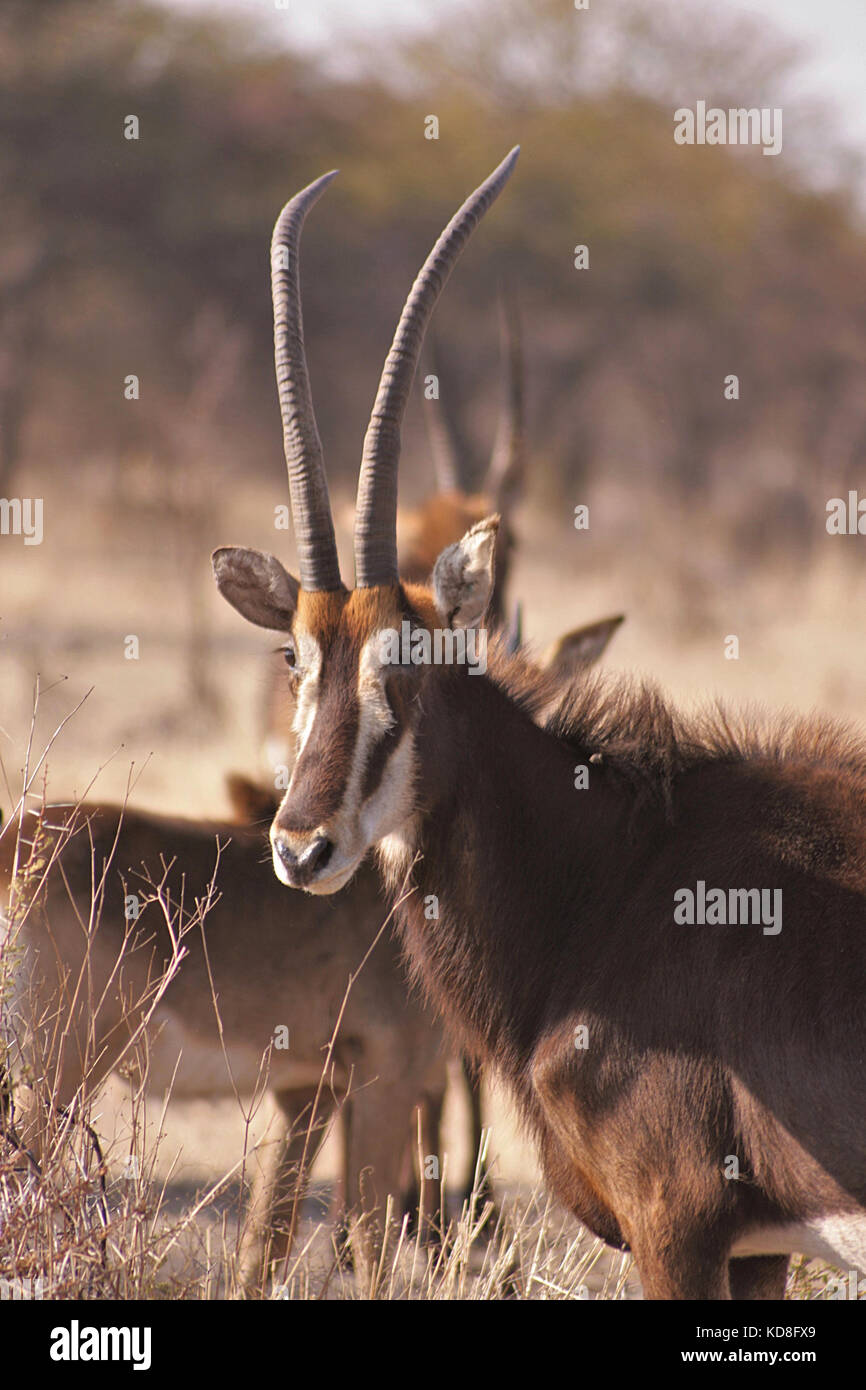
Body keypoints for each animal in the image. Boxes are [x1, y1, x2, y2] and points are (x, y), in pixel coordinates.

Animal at [213, 147, 866, 1300]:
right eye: (294, 655)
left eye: (412, 660)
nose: (301, 846)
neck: (614, 870)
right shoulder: (762, 1245)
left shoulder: (678, 1221)